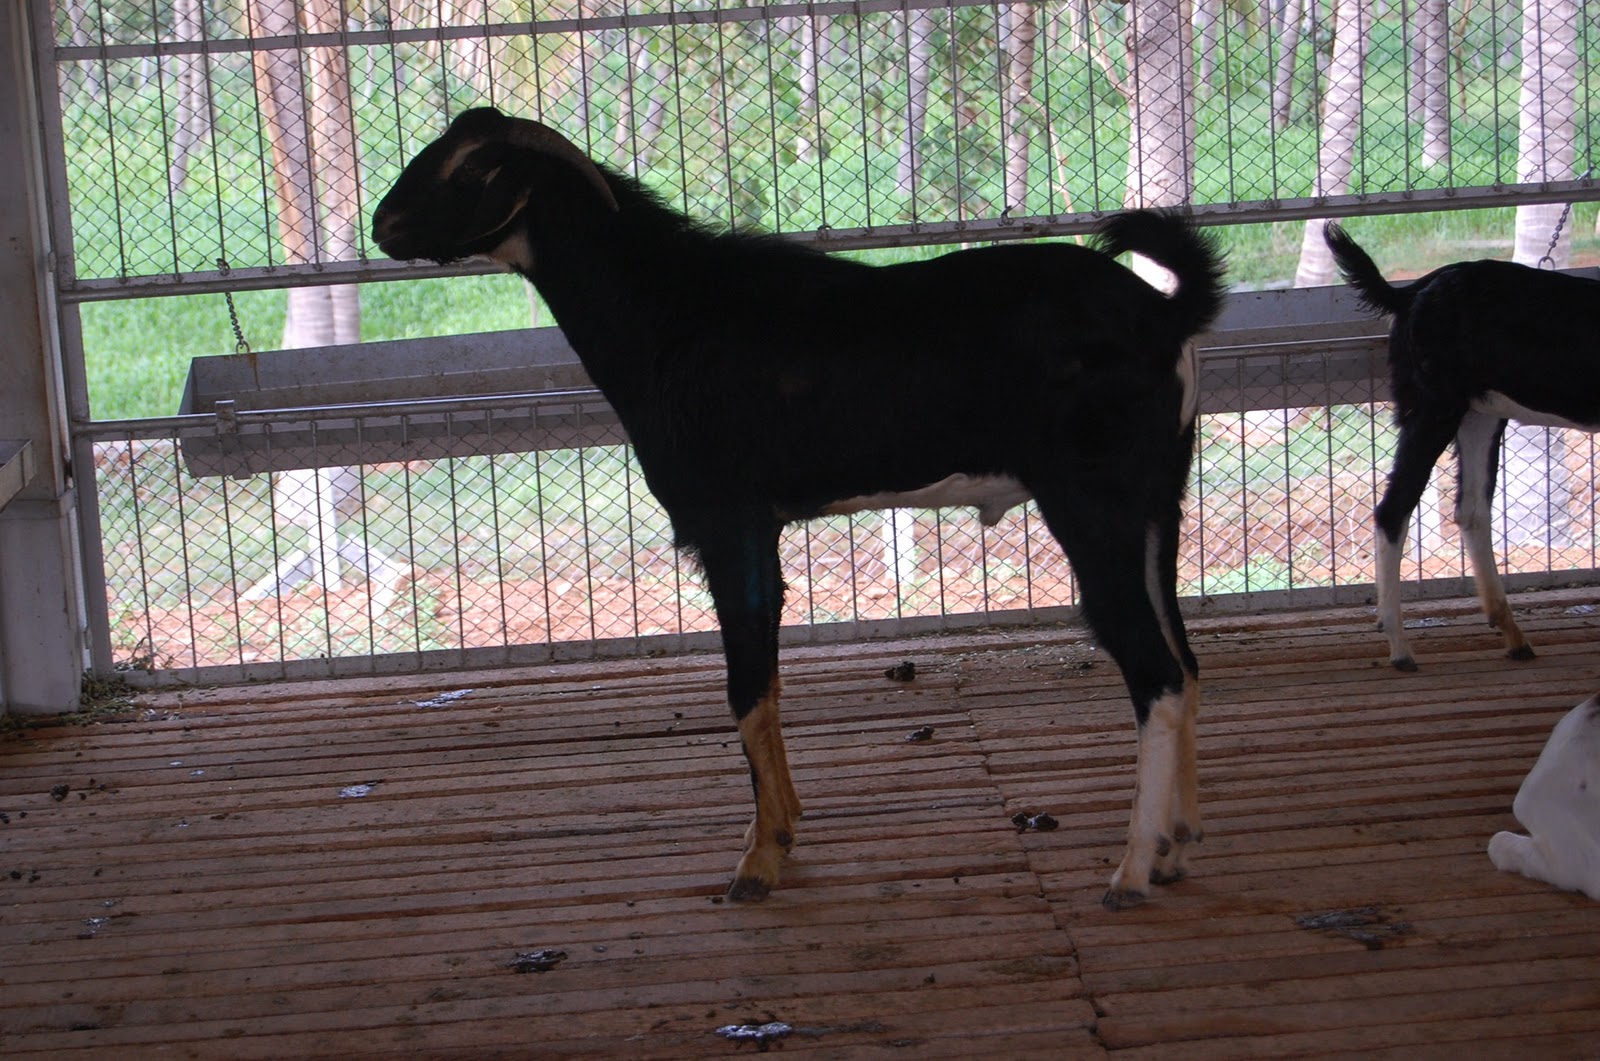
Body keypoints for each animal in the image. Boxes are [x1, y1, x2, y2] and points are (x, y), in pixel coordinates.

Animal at [372, 107, 1226, 908]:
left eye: (473, 168)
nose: (384, 224)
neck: (669, 312)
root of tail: (1163, 316)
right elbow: (769, 684)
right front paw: (778, 831)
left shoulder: (730, 523)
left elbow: (746, 688)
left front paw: (757, 861)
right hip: (1160, 504)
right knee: (1185, 663)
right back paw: (1178, 847)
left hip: (1094, 504)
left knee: (1155, 673)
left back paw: (1132, 870)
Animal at [1326, 223, 1600, 671]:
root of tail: (1409, 293)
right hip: (1435, 405)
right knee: (1394, 508)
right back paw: (1401, 648)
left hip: (1479, 412)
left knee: (1471, 509)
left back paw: (1513, 636)